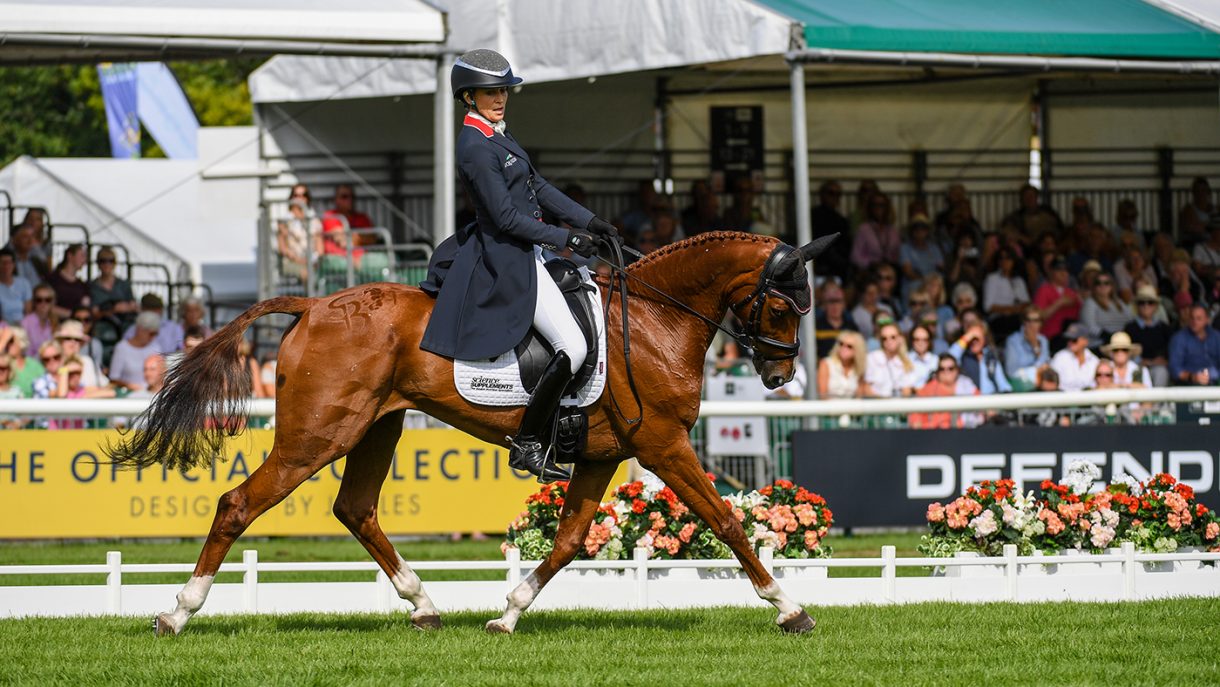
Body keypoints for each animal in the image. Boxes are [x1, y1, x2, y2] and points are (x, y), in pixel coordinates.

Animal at [108, 230, 830, 636]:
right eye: (781, 305)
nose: (779, 373)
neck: (654, 319)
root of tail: (313, 303)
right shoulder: (664, 445)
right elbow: (727, 521)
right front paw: (788, 606)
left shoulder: (603, 454)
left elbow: (568, 541)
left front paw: (507, 614)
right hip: (316, 437)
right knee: (237, 504)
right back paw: (178, 611)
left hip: (376, 427)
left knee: (357, 508)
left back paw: (423, 604)